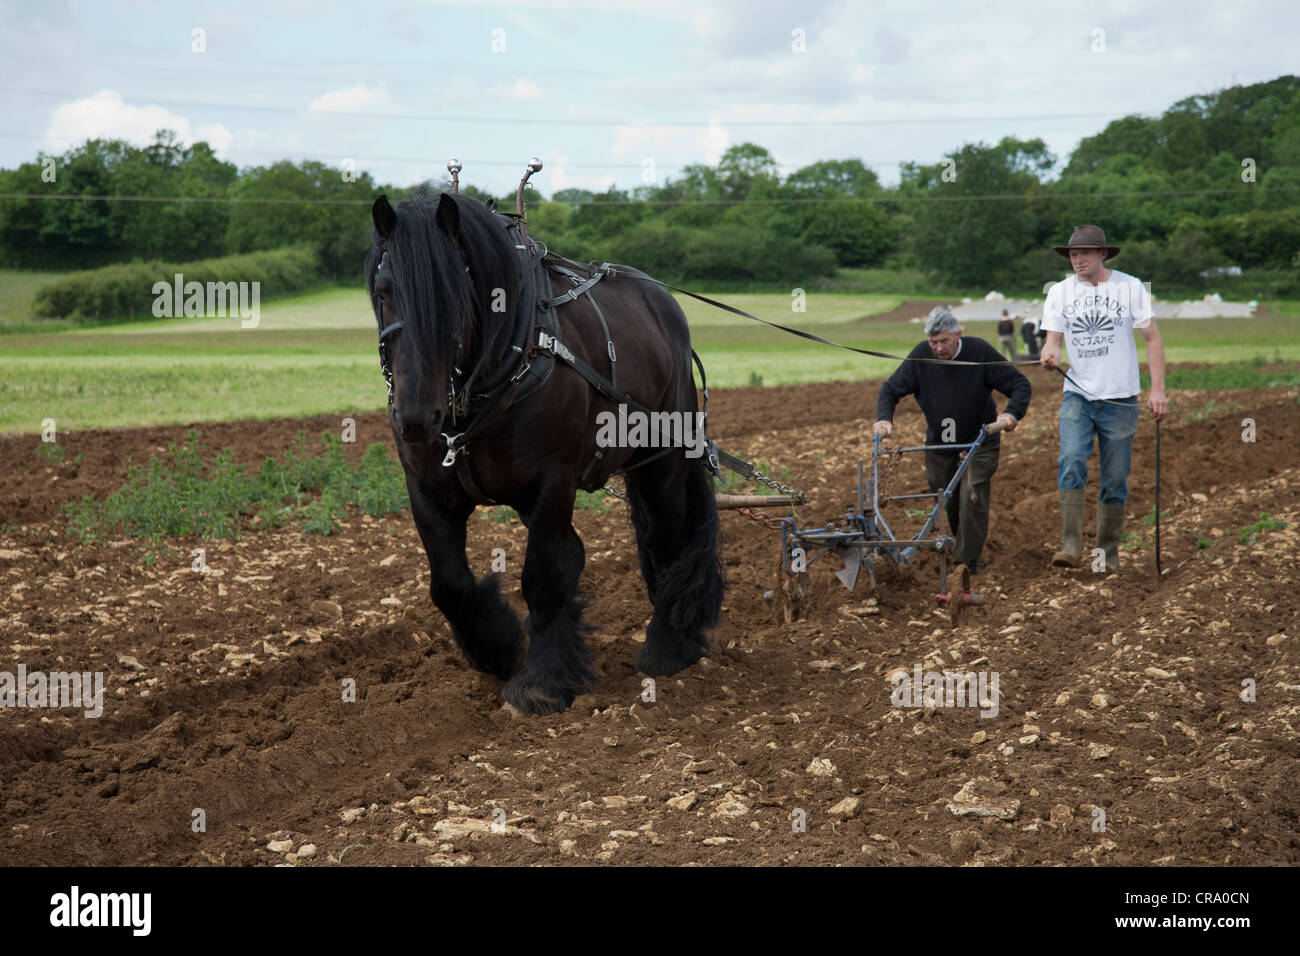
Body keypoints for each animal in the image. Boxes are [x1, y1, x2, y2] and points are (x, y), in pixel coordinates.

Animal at [365, 186, 726, 715]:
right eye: (385, 290)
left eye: (453, 290)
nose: (414, 417)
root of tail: (663, 303)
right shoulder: (427, 488)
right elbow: (450, 584)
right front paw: (498, 648)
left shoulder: (554, 481)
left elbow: (541, 575)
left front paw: (542, 681)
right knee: (579, 552)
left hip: (660, 463)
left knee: (666, 542)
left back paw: (668, 645)